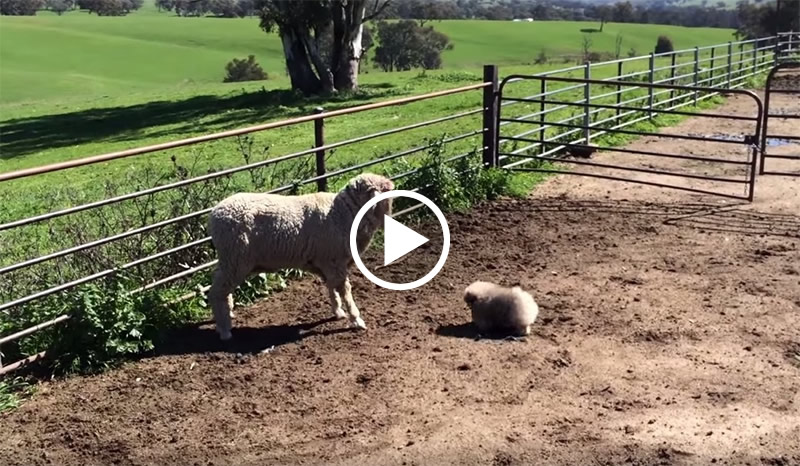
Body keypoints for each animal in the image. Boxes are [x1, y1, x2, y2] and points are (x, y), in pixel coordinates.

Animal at [207, 173, 395, 341]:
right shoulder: (335, 262)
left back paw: (228, 313)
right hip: (235, 259)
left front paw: (338, 311)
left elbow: (332, 289)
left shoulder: (327, 262)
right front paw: (356, 320)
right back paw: (224, 330)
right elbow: (346, 292)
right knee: (216, 292)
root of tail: (215, 213)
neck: (342, 213)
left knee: (222, 291)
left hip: (231, 261)